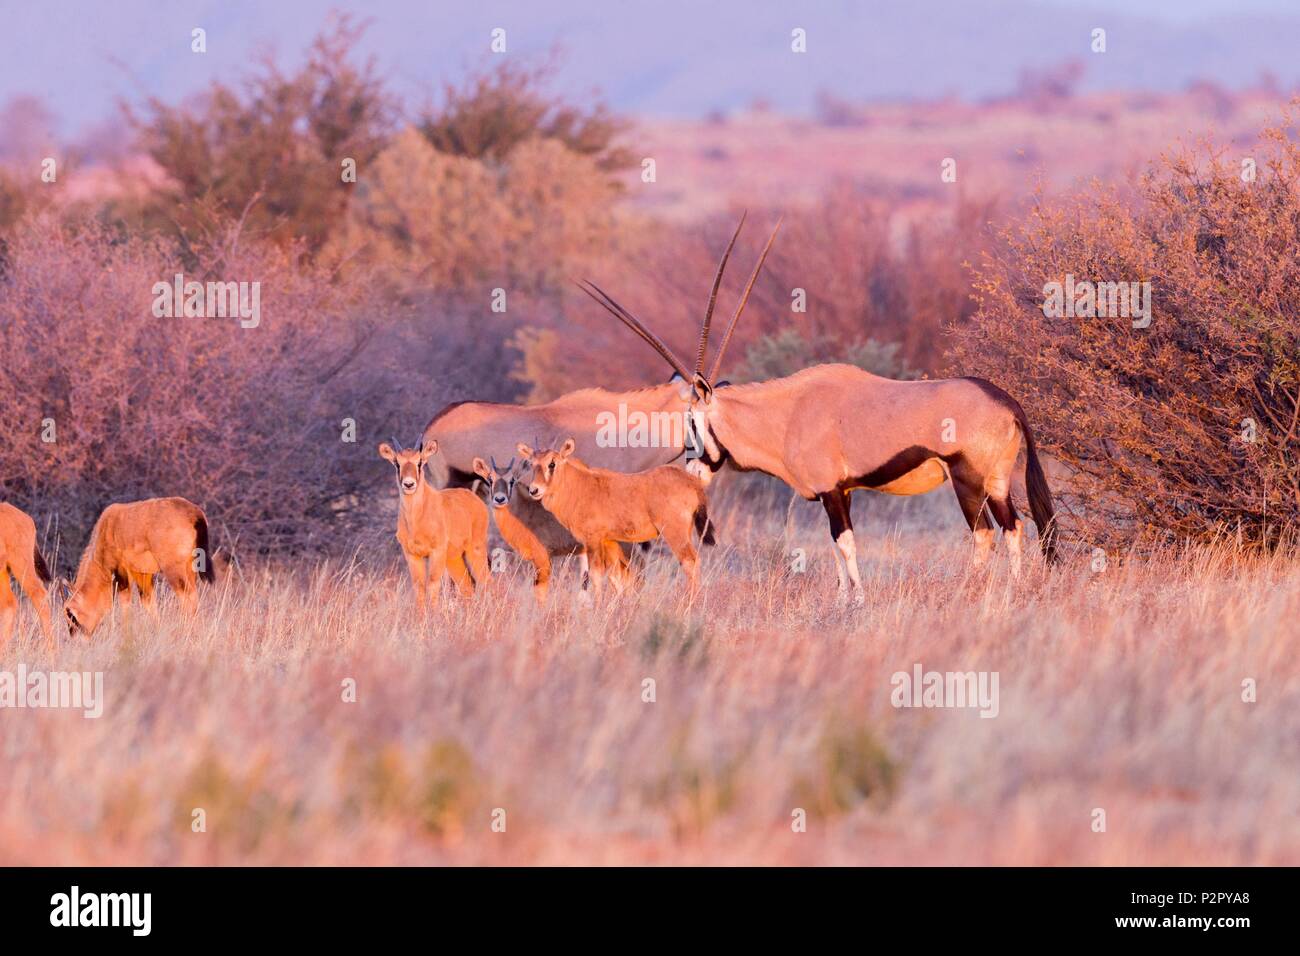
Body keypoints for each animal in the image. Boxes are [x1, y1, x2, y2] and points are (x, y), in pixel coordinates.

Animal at [65, 497, 216, 636]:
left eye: (71, 615)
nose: (78, 639)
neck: (108, 526)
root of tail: (194, 512)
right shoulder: (142, 573)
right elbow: (148, 602)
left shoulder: (122, 571)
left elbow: (125, 601)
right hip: (189, 568)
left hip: (173, 570)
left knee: (186, 596)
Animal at [379, 439, 490, 608]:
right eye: (397, 463)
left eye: (419, 462)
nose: (409, 484)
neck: (416, 519)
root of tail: (472, 497)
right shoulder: (412, 555)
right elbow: (419, 586)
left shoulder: (436, 552)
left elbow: (432, 583)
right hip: (453, 558)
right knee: (466, 585)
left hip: (475, 549)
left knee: (487, 580)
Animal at [518, 438, 713, 597]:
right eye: (531, 463)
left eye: (552, 464)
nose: (534, 490)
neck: (578, 485)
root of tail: (691, 482)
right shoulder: (610, 542)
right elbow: (617, 578)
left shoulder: (593, 541)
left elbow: (596, 575)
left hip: (675, 534)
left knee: (691, 562)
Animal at [580, 216, 1058, 603]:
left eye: (693, 424)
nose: (692, 471)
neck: (786, 414)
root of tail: (1006, 401)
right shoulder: (842, 492)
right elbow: (834, 547)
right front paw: (843, 595)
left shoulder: (831, 491)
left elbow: (844, 542)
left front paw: (857, 600)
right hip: (996, 479)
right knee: (1008, 529)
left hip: (970, 479)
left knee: (994, 531)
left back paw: (988, 590)